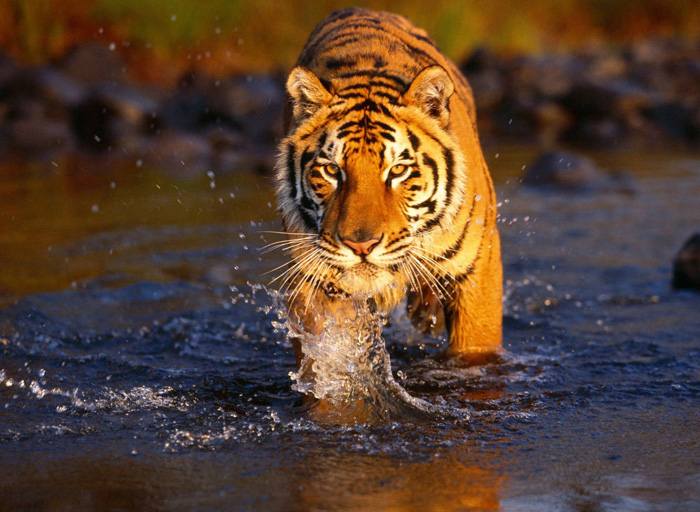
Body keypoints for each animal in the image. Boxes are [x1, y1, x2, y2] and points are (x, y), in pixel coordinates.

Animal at [274, 7, 503, 370]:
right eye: (332, 170)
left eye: (397, 170)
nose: (361, 246)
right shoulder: (314, 281)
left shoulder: (477, 270)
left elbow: (475, 349)